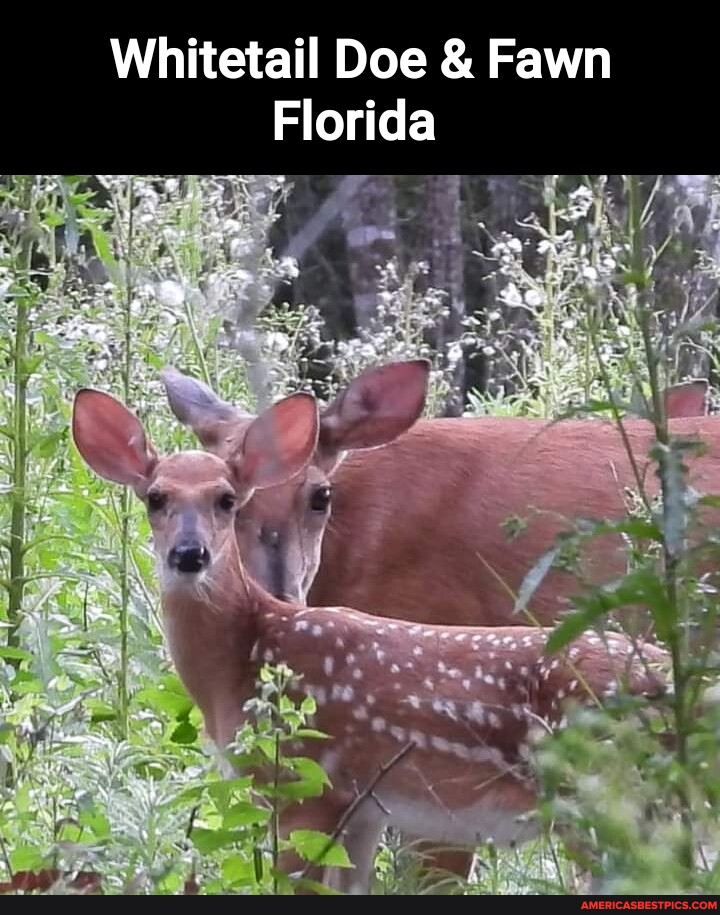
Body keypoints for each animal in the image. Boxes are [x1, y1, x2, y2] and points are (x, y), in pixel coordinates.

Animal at [72, 387, 670, 895]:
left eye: (226, 500)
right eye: (155, 498)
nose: (190, 554)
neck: (244, 659)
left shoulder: (305, 784)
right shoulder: (363, 811)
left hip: (599, 800)